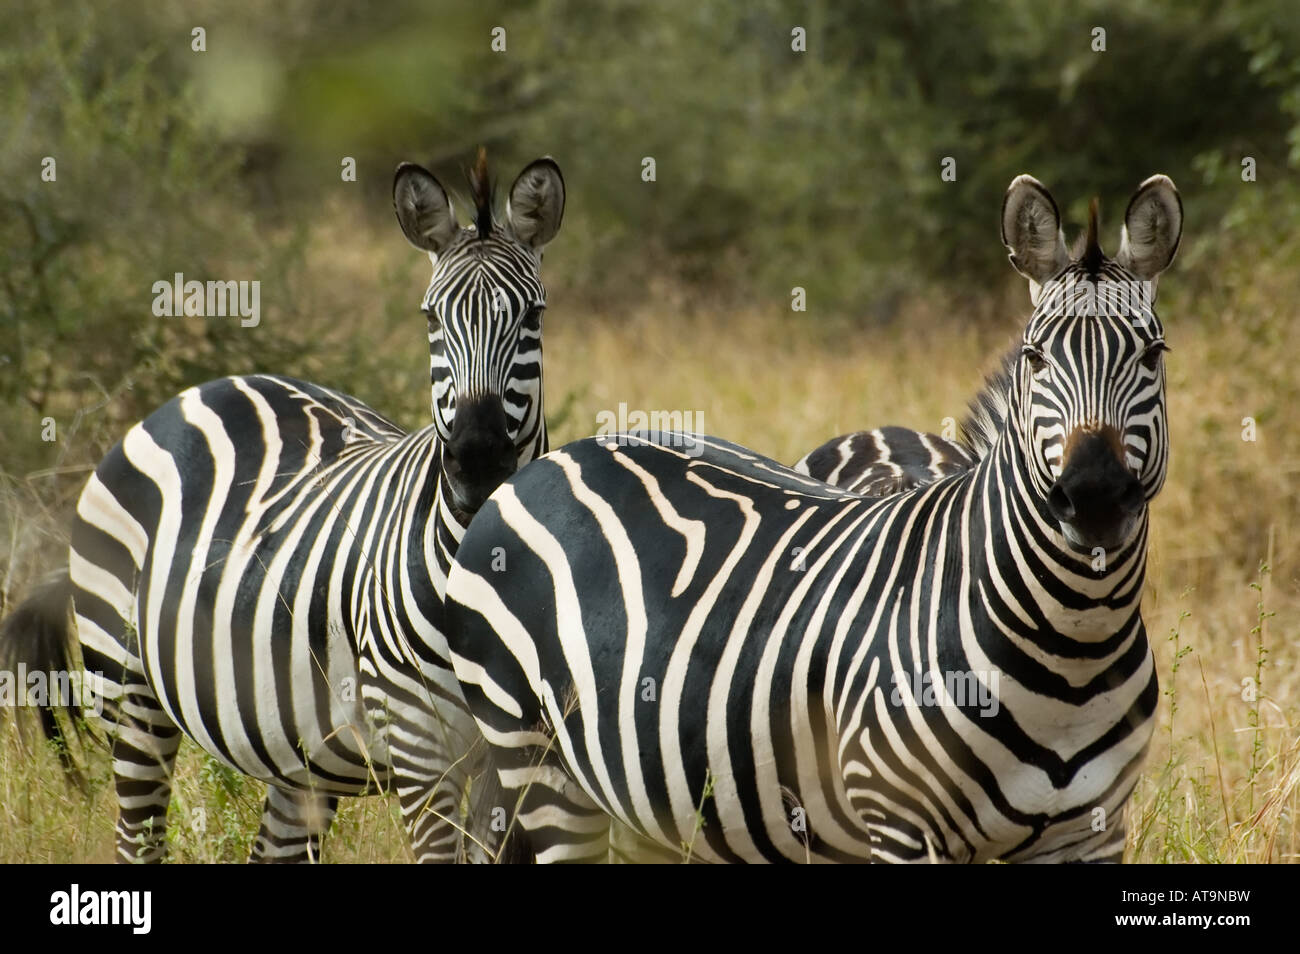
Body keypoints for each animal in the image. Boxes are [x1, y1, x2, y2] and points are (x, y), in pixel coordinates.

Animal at [0, 151, 565, 862]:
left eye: (535, 316)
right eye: (432, 319)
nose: (478, 463)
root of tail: (203, 388)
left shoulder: (517, 757)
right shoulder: (422, 755)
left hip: (297, 753)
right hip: (128, 690)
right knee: (137, 837)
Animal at [441, 173, 1181, 862]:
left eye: (1154, 354)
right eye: (1035, 356)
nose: (1094, 495)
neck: (1072, 650)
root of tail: (554, 458)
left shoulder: (1090, 832)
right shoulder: (901, 823)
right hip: (534, 755)